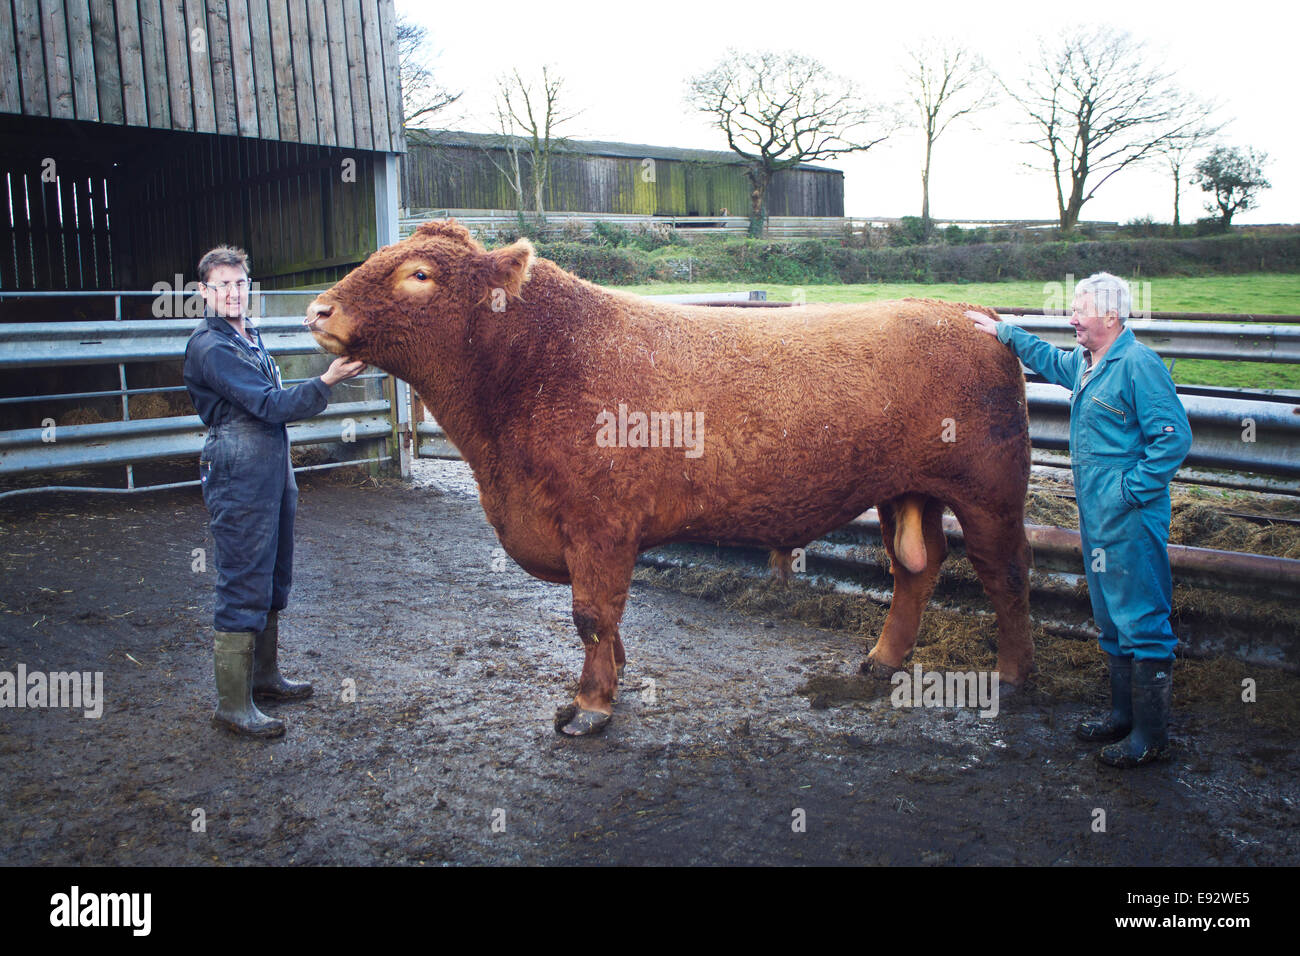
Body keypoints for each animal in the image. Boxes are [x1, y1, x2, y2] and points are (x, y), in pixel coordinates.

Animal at [306, 220, 1032, 736]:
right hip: (906, 490)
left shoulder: (598, 521)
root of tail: (964, 313)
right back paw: (881, 662)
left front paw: (590, 706)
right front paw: (615, 677)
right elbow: (603, 617)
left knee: (1004, 574)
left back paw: (1011, 675)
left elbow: (591, 612)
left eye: (420, 273)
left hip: (990, 491)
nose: (317, 310)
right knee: (917, 566)